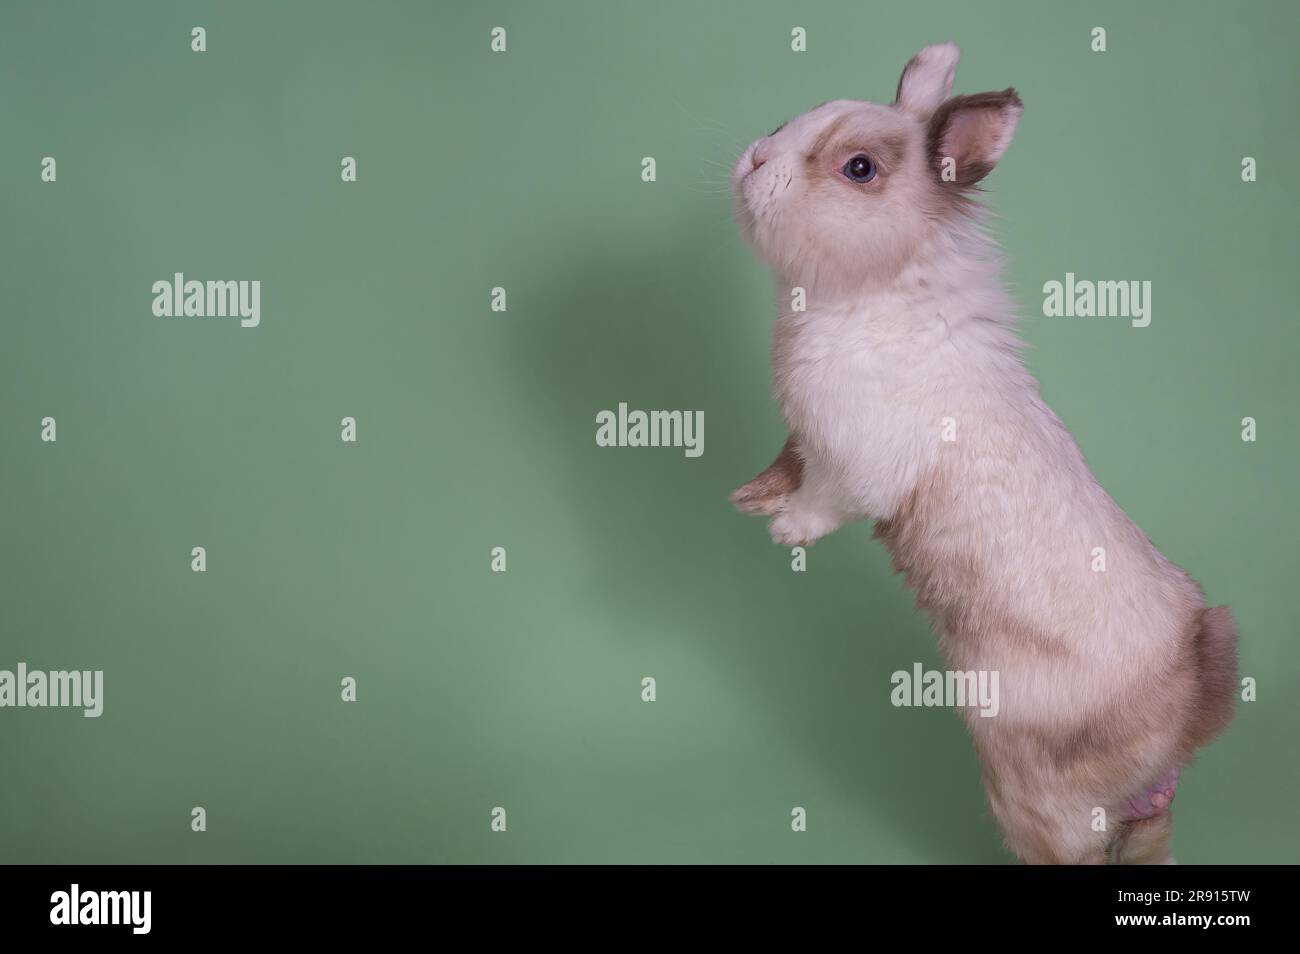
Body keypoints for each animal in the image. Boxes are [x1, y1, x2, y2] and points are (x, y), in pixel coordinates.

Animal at [729, 42, 1238, 864]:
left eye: (859, 168)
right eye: (786, 122)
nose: (755, 157)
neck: (873, 292)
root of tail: (1188, 711)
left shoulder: (856, 465)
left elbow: (825, 498)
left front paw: (786, 532)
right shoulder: (805, 435)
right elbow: (789, 463)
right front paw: (752, 496)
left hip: (1028, 791)